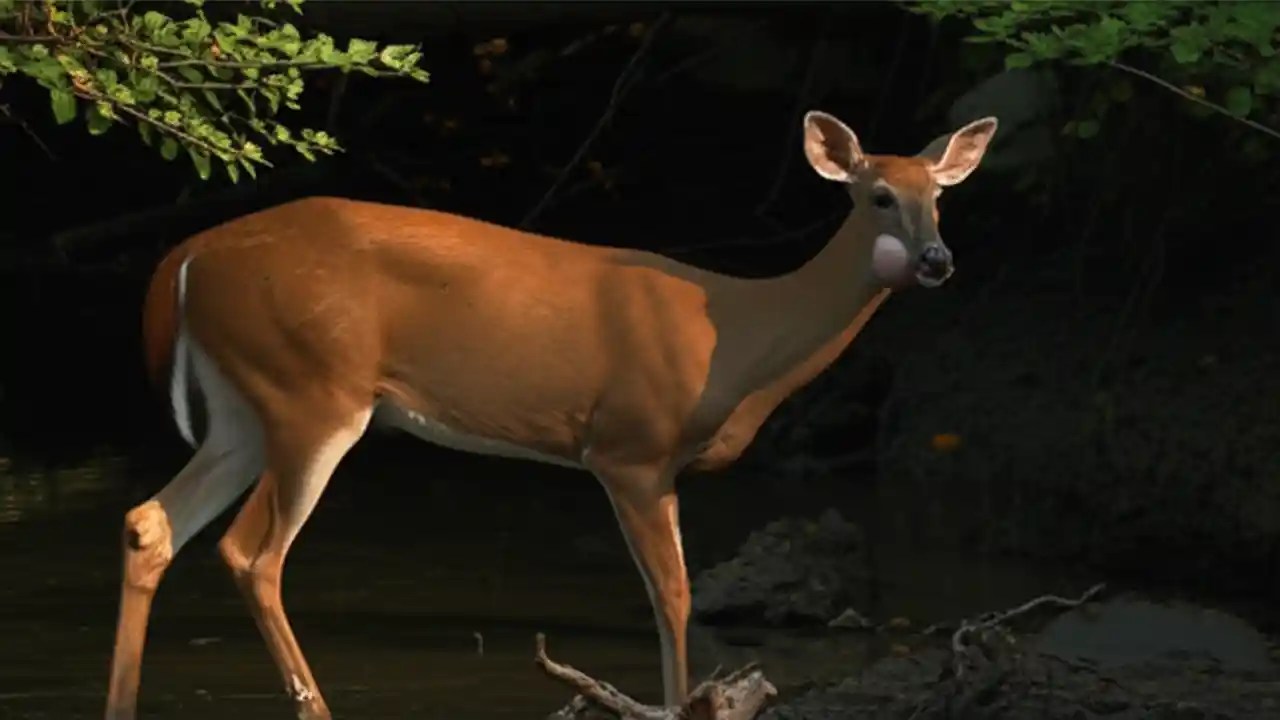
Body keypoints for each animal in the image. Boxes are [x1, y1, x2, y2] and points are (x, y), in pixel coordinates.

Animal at [104, 109, 997, 719]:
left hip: (242, 406)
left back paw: (122, 704)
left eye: (940, 199)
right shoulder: (631, 446)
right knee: (252, 553)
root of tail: (183, 257)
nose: (937, 260)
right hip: (312, 389)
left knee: (153, 521)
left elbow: (673, 592)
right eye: (878, 196)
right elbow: (674, 595)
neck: (739, 338)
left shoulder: (652, 461)